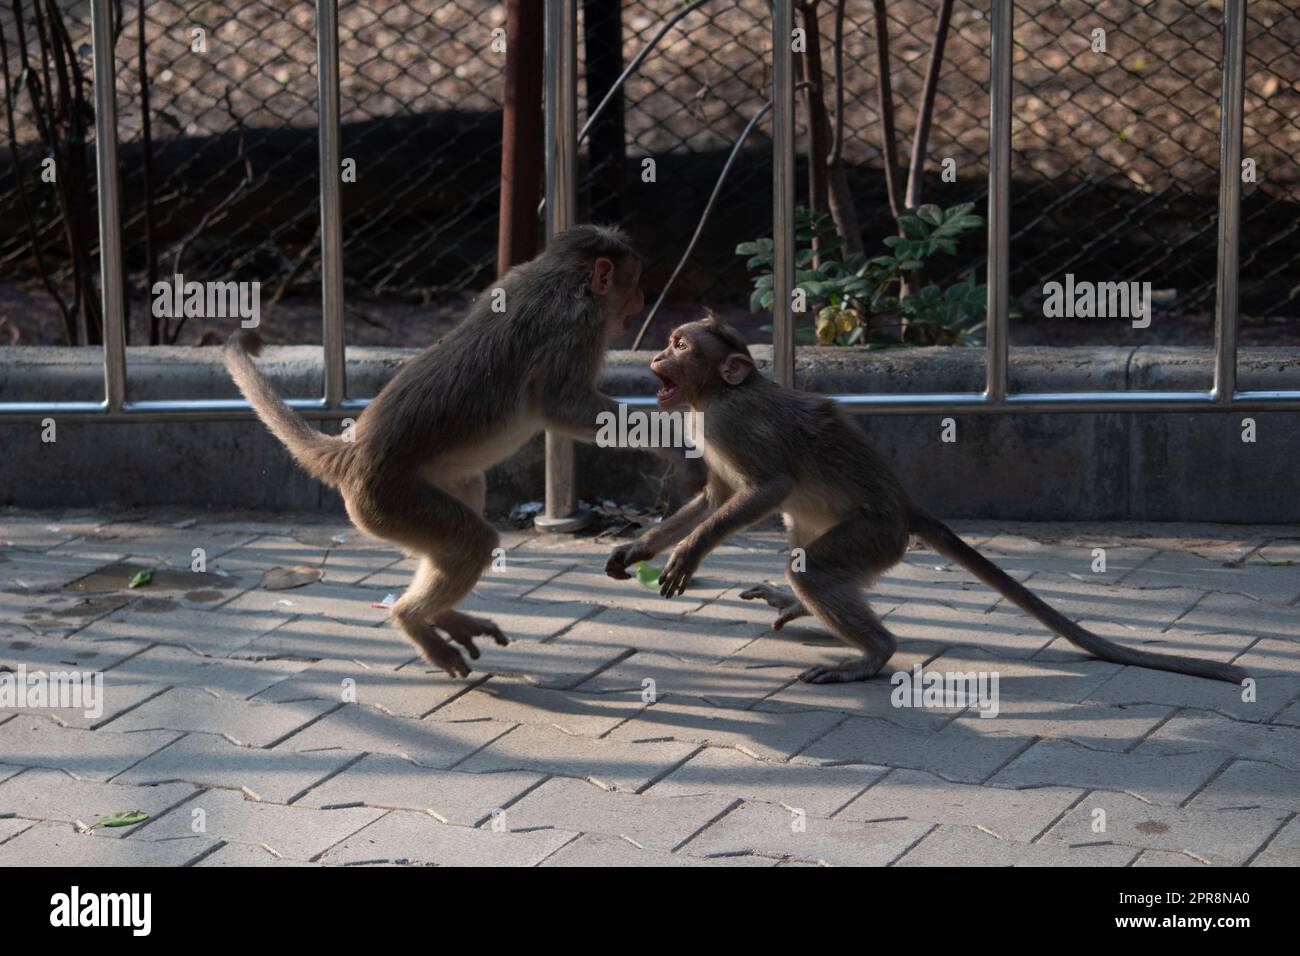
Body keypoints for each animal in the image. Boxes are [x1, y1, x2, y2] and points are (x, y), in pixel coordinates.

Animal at [226, 224, 654, 679]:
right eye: (634, 285)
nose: (643, 300)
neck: (557, 278)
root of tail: (353, 452)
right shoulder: (579, 328)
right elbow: (562, 406)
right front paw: (664, 436)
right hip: (386, 501)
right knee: (473, 541)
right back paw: (411, 619)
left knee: (464, 502)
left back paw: (441, 616)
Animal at [605, 313, 1248, 686]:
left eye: (680, 344)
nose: (656, 356)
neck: (713, 396)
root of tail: (905, 507)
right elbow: (714, 495)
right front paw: (639, 549)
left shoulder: (734, 424)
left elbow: (767, 489)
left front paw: (688, 554)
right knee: (813, 560)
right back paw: (803, 610)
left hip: (876, 535)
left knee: (812, 567)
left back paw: (873, 653)